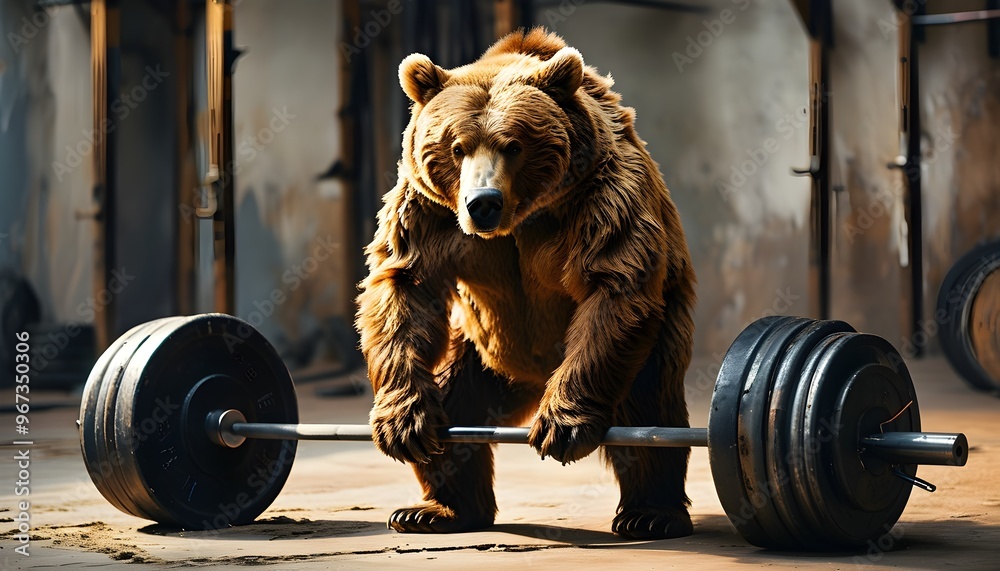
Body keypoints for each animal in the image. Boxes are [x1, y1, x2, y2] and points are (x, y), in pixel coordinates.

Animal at [356, 28, 696, 540]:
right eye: (457, 146)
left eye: (513, 145)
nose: (482, 202)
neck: (521, 219)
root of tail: (534, 378)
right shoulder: (429, 212)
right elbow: (404, 284)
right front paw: (403, 423)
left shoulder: (598, 197)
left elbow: (612, 284)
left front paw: (563, 425)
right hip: (479, 352)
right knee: (456, 412)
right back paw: (437, 509)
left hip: (650, 348)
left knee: (649, 418)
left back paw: (651, 513)